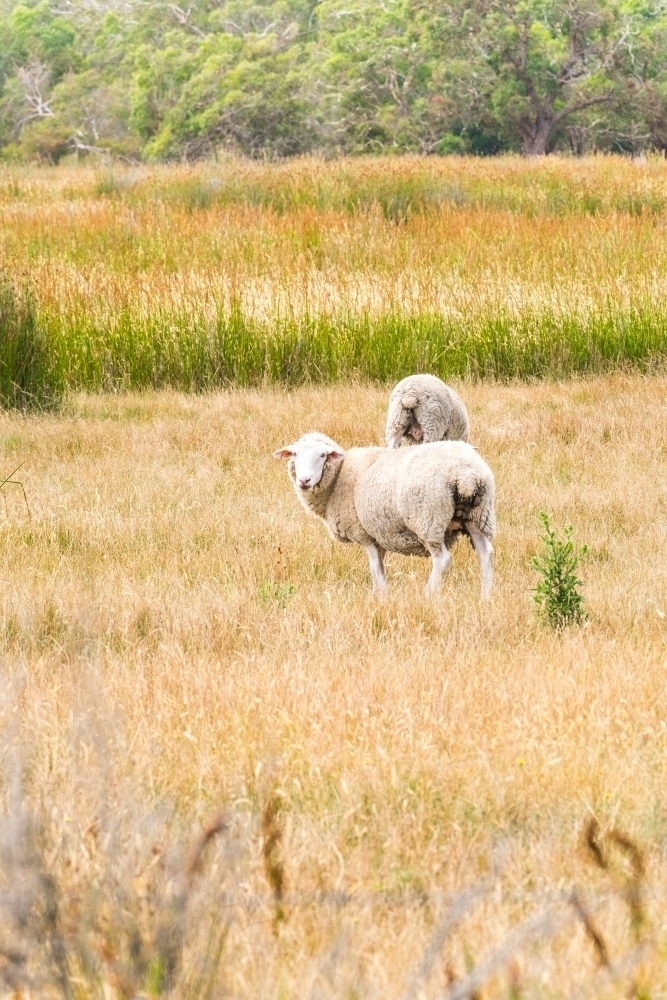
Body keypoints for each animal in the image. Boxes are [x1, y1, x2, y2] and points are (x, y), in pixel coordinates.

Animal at [274, 431, 495, 598]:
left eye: (323, 455)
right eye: (294, 454)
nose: (304, 480)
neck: (339, 477)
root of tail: (466, 474)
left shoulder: (364, 534)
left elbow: (373, 567)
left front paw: (379, 596)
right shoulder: (378, 536)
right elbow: (379, 566)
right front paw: (381, 594)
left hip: (429, 519)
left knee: (442, 559)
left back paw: (428, 594)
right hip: (478, 516)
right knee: (485, 553)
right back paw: (485, 596)